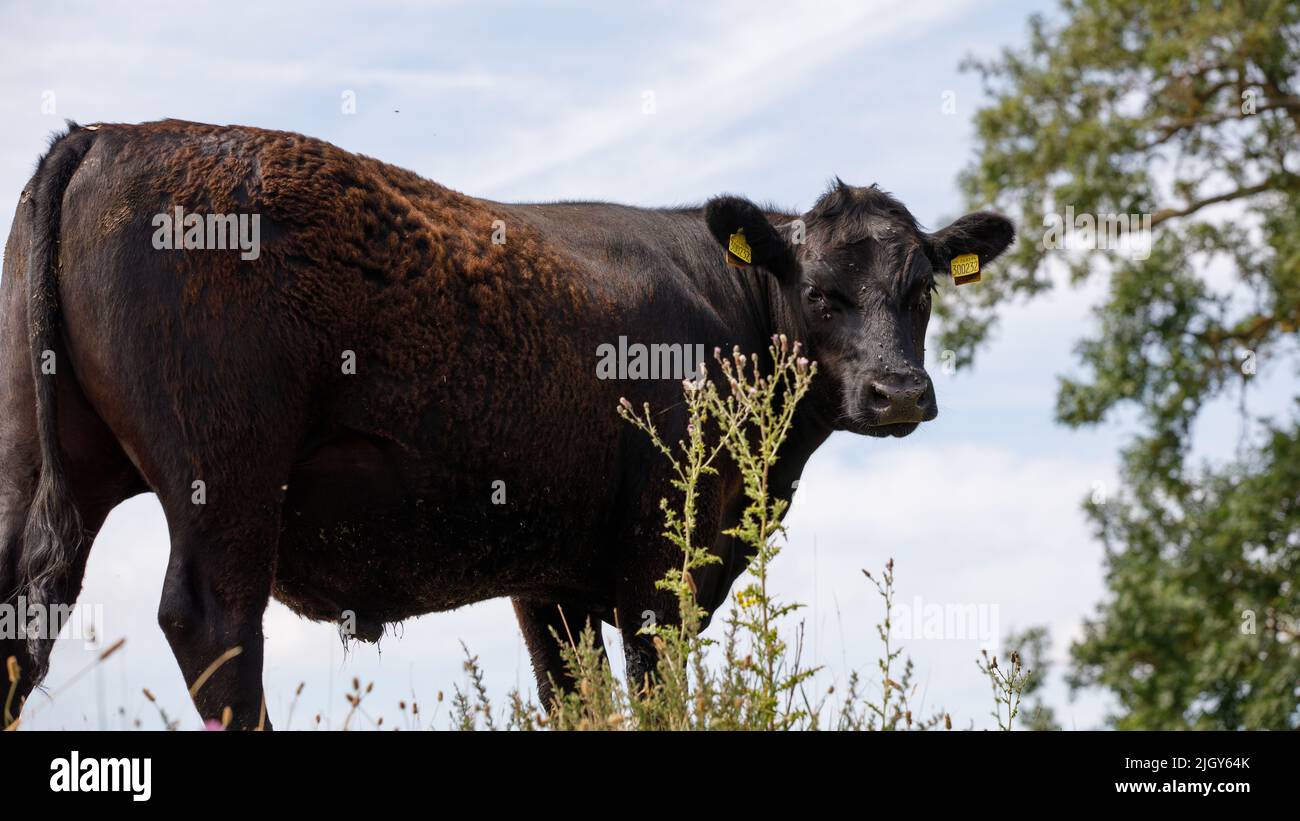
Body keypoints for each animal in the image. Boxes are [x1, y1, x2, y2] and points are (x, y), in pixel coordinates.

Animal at [0, 120, 1013, 728]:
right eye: (821, 292)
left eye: (921, 290)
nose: (898, 392)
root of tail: (106, 134)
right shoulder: (658, 564)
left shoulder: (553, 581)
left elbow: (575, 696)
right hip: (227, 473)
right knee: (214, 624)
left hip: (34, 462)